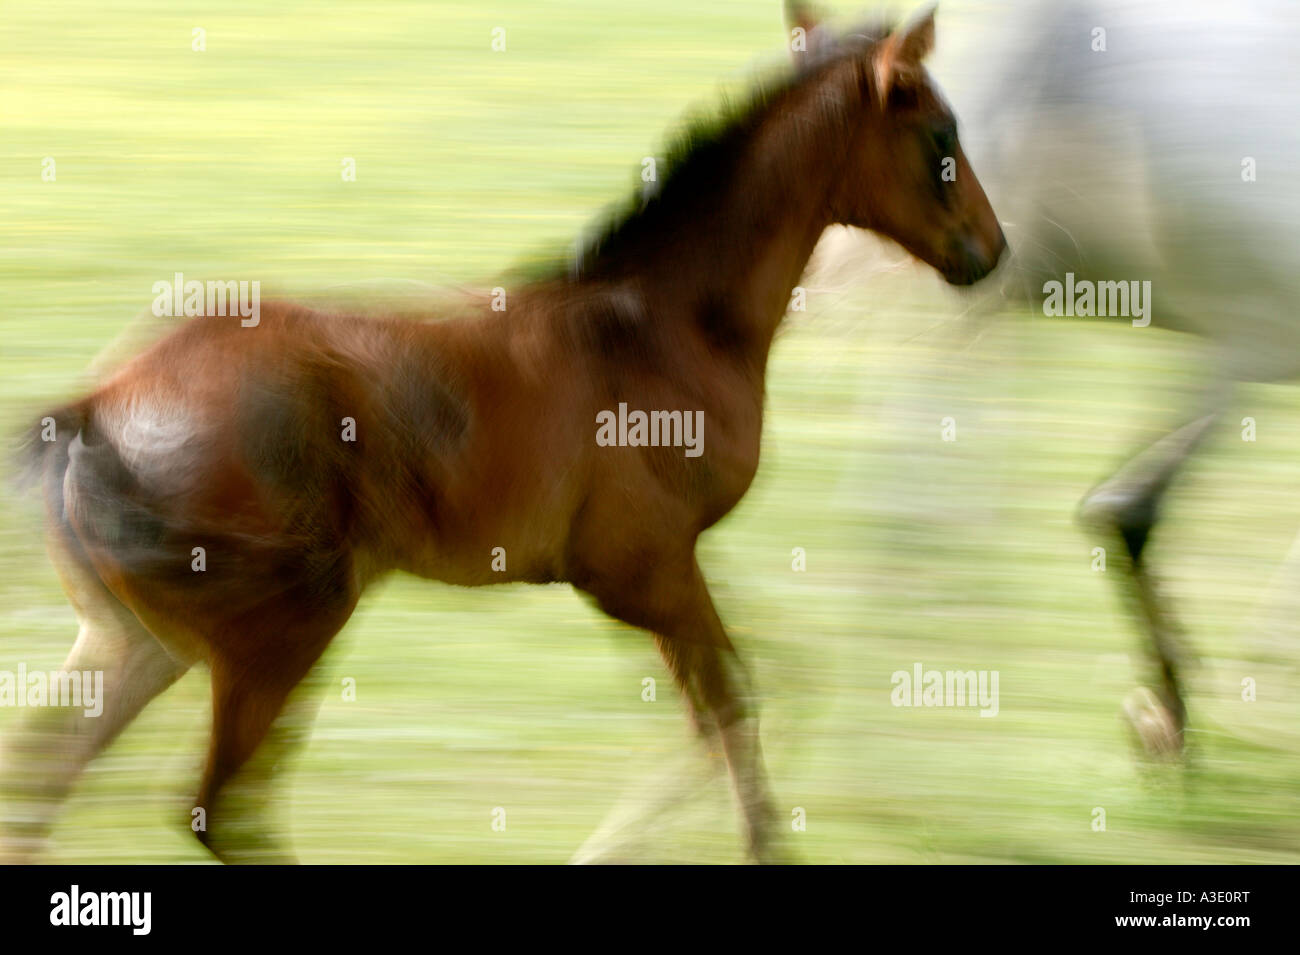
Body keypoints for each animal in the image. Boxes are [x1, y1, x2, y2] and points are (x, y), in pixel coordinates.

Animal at [0, 4, 1003, 863]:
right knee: (217, 806)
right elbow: (731, 705)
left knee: (42, 777)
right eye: (941, 138)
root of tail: (96, 410)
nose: (990, 253)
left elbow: (771, 682)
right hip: (282, 634)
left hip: (137, 641)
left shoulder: (662, 562)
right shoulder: (641, 568)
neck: (661, 323)